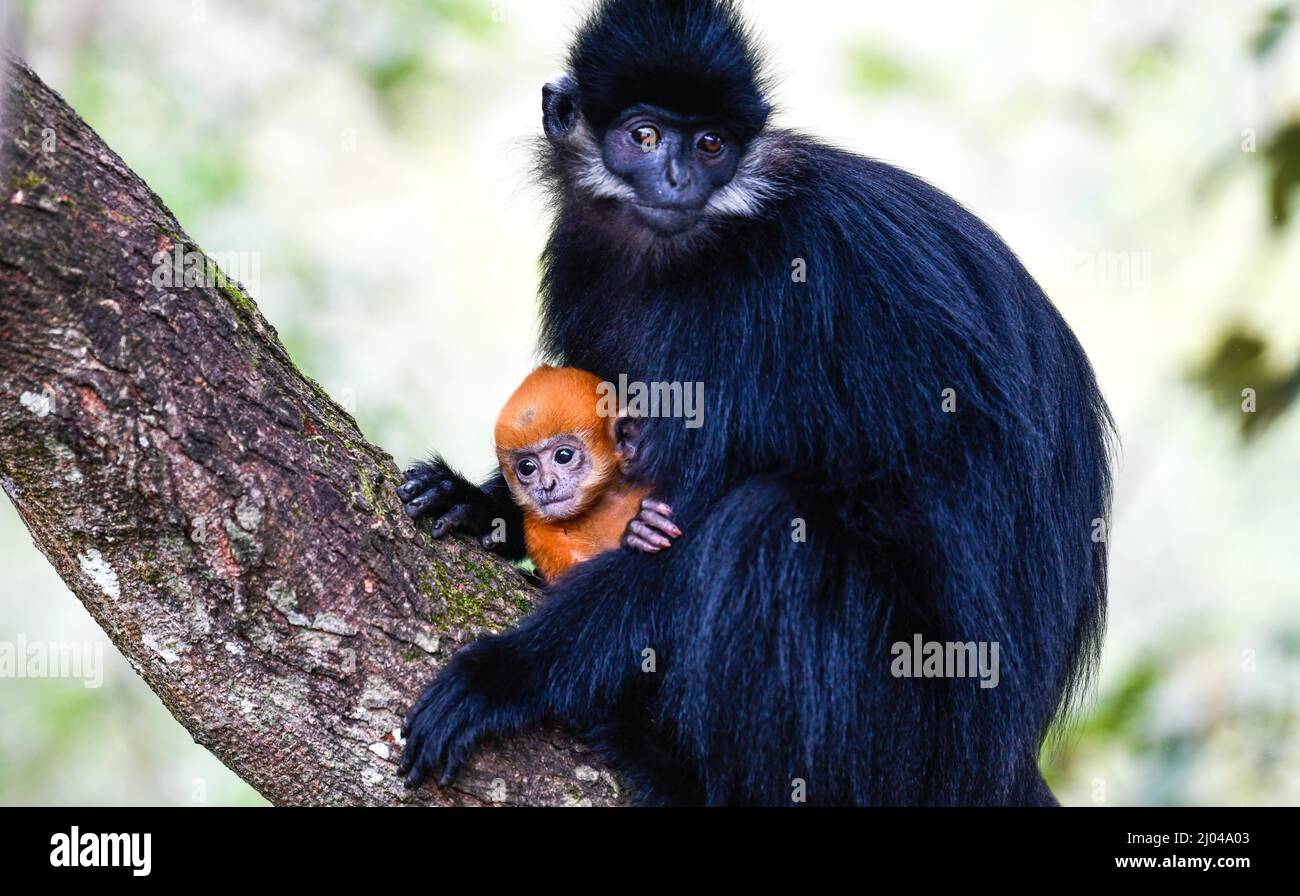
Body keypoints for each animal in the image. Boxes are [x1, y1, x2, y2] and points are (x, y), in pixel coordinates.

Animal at [494, 364, 680, 581]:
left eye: (563, 456)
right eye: (527, 467)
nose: (547, 484)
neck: (601, 503)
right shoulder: (537, 531)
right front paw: (636, 533)